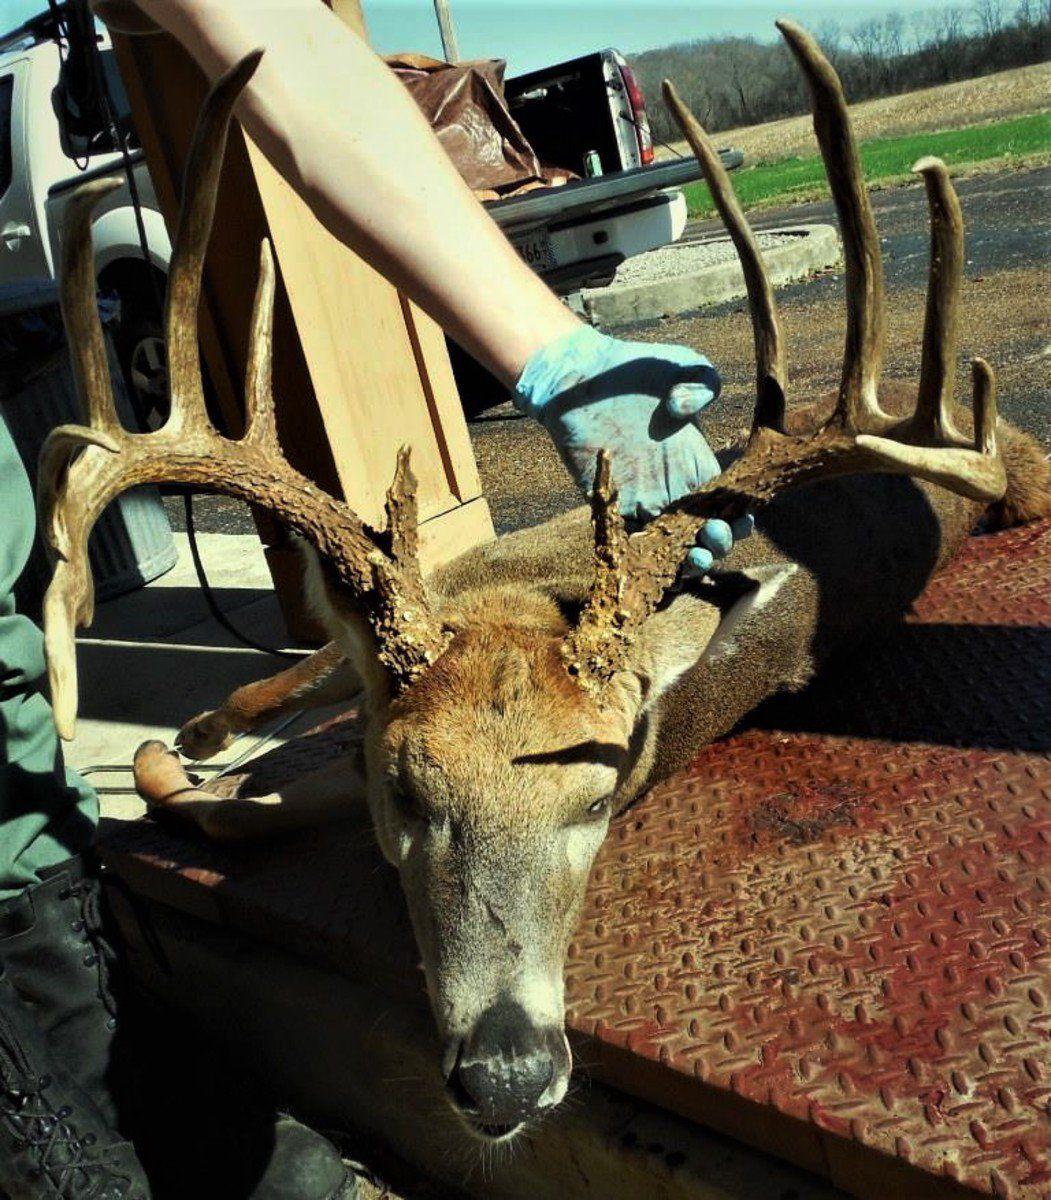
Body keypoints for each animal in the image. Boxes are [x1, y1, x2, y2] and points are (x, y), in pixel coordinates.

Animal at [39, 22, 1049, 1144]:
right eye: (406, 787)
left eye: (601, 801)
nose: (507, 1079)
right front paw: (186, 752)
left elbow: (226, 815)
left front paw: (169, 773)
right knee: (305, 666)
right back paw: (212, 724)